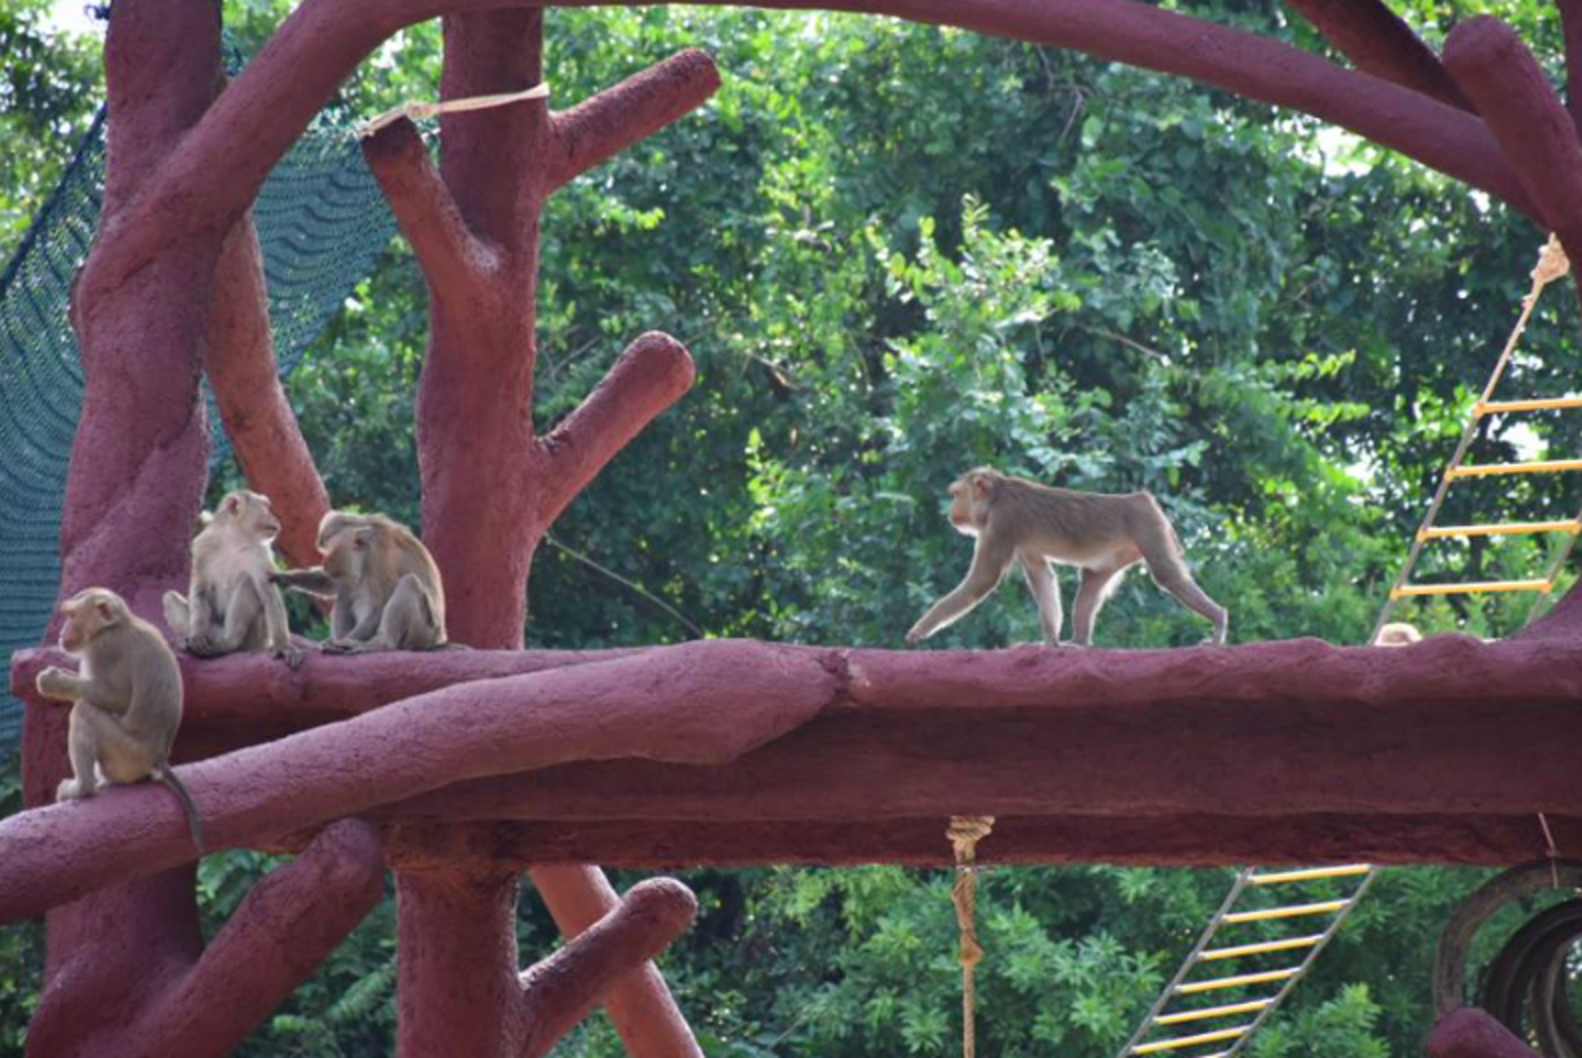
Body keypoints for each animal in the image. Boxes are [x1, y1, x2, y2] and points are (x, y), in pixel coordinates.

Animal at [36, 588, 206, 853]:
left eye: (72, 616)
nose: (62, 632)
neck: (117, 625)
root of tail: (158, 761)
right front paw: (58, 674)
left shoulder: (105, 648)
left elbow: (118, 698)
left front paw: (54, 683)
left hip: (126, 757)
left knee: (85, 711)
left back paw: (83, 789)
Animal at [163, 489, 302, 668]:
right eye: (266, 508)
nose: (275, 517)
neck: (234, 539)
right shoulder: (202, 547)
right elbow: (200, 591)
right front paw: (197, 635)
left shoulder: (260, 552)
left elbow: (269, 595)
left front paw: (283, 646)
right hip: (215, 631)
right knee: (170, 598)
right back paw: (193, 644)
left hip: (257, 638)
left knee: (248, 581)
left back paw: (230, 643)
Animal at [271, 510, 446, 653]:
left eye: (328, 550)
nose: (324, 560)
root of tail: (439, 637)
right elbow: (335, 584)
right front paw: (285, 578)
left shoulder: (379, 554)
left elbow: (379, 605)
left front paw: (340, 641)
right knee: (346, 593)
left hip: (423, 631)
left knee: (409, 582)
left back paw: (381, 643)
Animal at [906, 467, 1228, 648]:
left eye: (957, 494)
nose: (950, 511)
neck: (996, 497)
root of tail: (1143, 499)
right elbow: (1042, 577)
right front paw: (1049, 643)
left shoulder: (1002, 523)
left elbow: (982, 580)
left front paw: (921, 627)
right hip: (1120, 551)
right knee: (1091, 582)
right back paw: (1079, 643)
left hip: (1148, 526)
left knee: (1168, 576)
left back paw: (1218, 621)